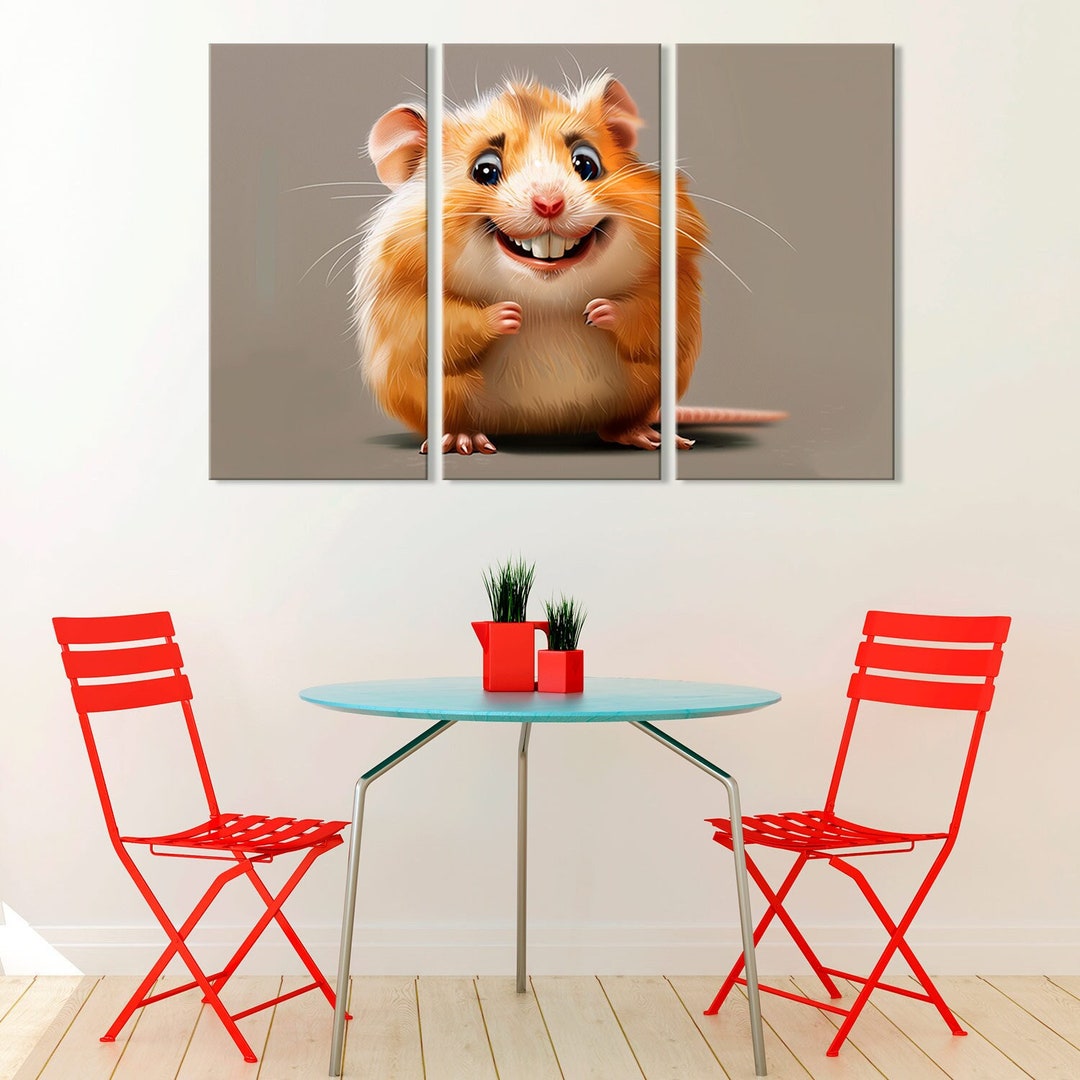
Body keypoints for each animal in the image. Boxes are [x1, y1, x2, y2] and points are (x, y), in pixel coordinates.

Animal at [352, 74, 786, 454]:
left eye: (586, 163)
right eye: (485, 170)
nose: (549, 204)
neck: (547, 299)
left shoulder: (671, 285)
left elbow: (647, 316)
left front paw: (599, 311)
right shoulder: (406, 305)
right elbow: (443, 325)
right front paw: (508, 314)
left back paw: (645, 435)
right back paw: (464, 440)